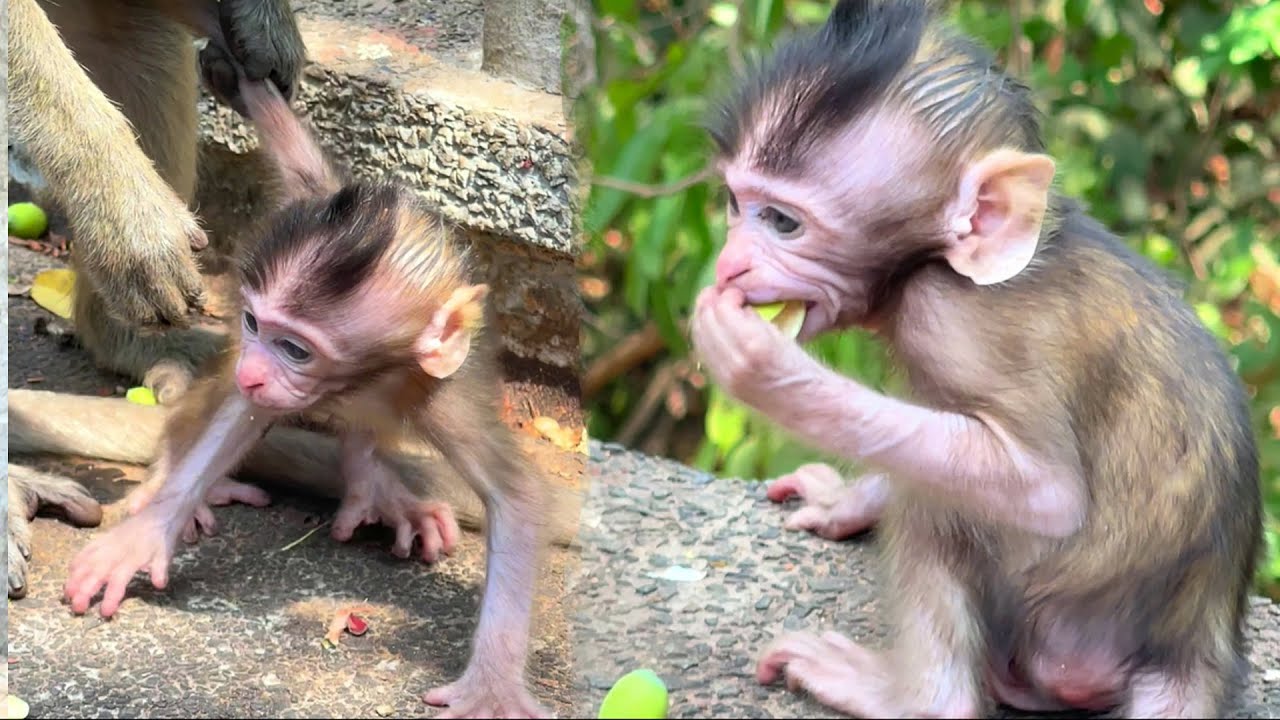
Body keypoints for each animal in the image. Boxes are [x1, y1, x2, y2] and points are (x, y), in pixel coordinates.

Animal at [60, 68, 560, 718]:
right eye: (253, 323)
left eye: (296, 349)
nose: (253, 370)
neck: (365, 379)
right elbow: (241, 414)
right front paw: (149, 529)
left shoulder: (438, 396)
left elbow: (518, 497)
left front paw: (493, 686)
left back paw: (376, 483)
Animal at [688, 1, 1264, 717]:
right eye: (735, 204)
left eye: (782, 222)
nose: (729, 264)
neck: (933, 264)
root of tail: (1196, 646)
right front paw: (849, 498)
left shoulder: (952, 320)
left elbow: (1045, 493)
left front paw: (763, 369)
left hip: (1060, 636)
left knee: (941, 505)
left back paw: (912, 699)